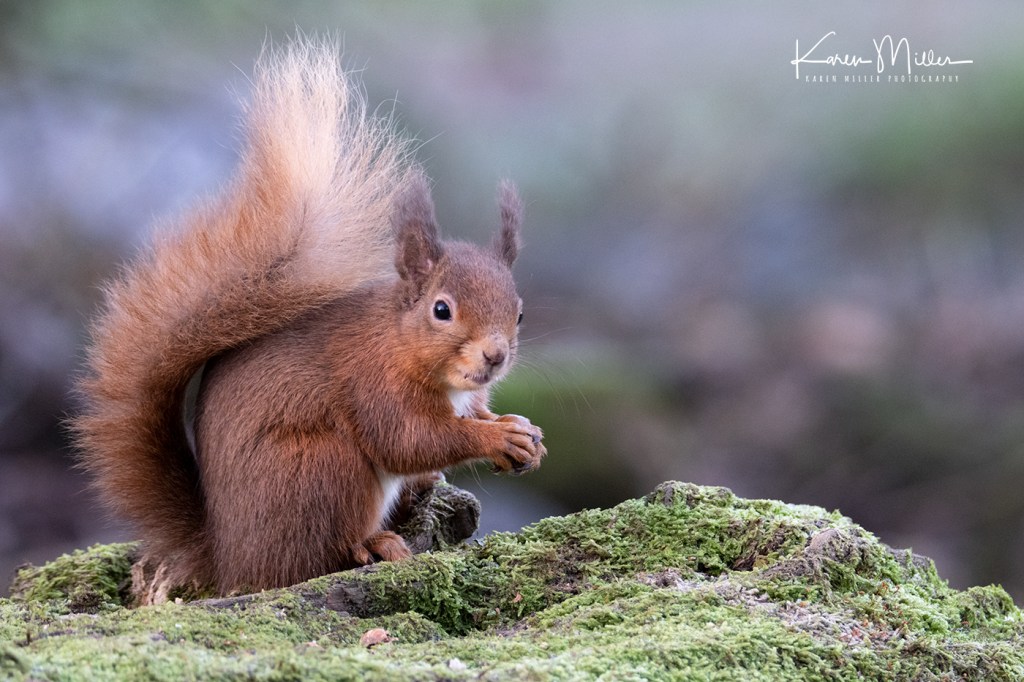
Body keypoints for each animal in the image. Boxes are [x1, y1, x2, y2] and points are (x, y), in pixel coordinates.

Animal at [71, 39, 546, 598]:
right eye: (441, 310)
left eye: (519, 312)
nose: (495, 357)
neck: (401, 344)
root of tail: (229, 562)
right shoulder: (374, 384)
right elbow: (410, 440)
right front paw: (496, 438)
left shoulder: (465, 395)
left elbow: (472, 416)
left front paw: (518, 430)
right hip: (324, 466)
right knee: (316, 556)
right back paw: (372, 544)